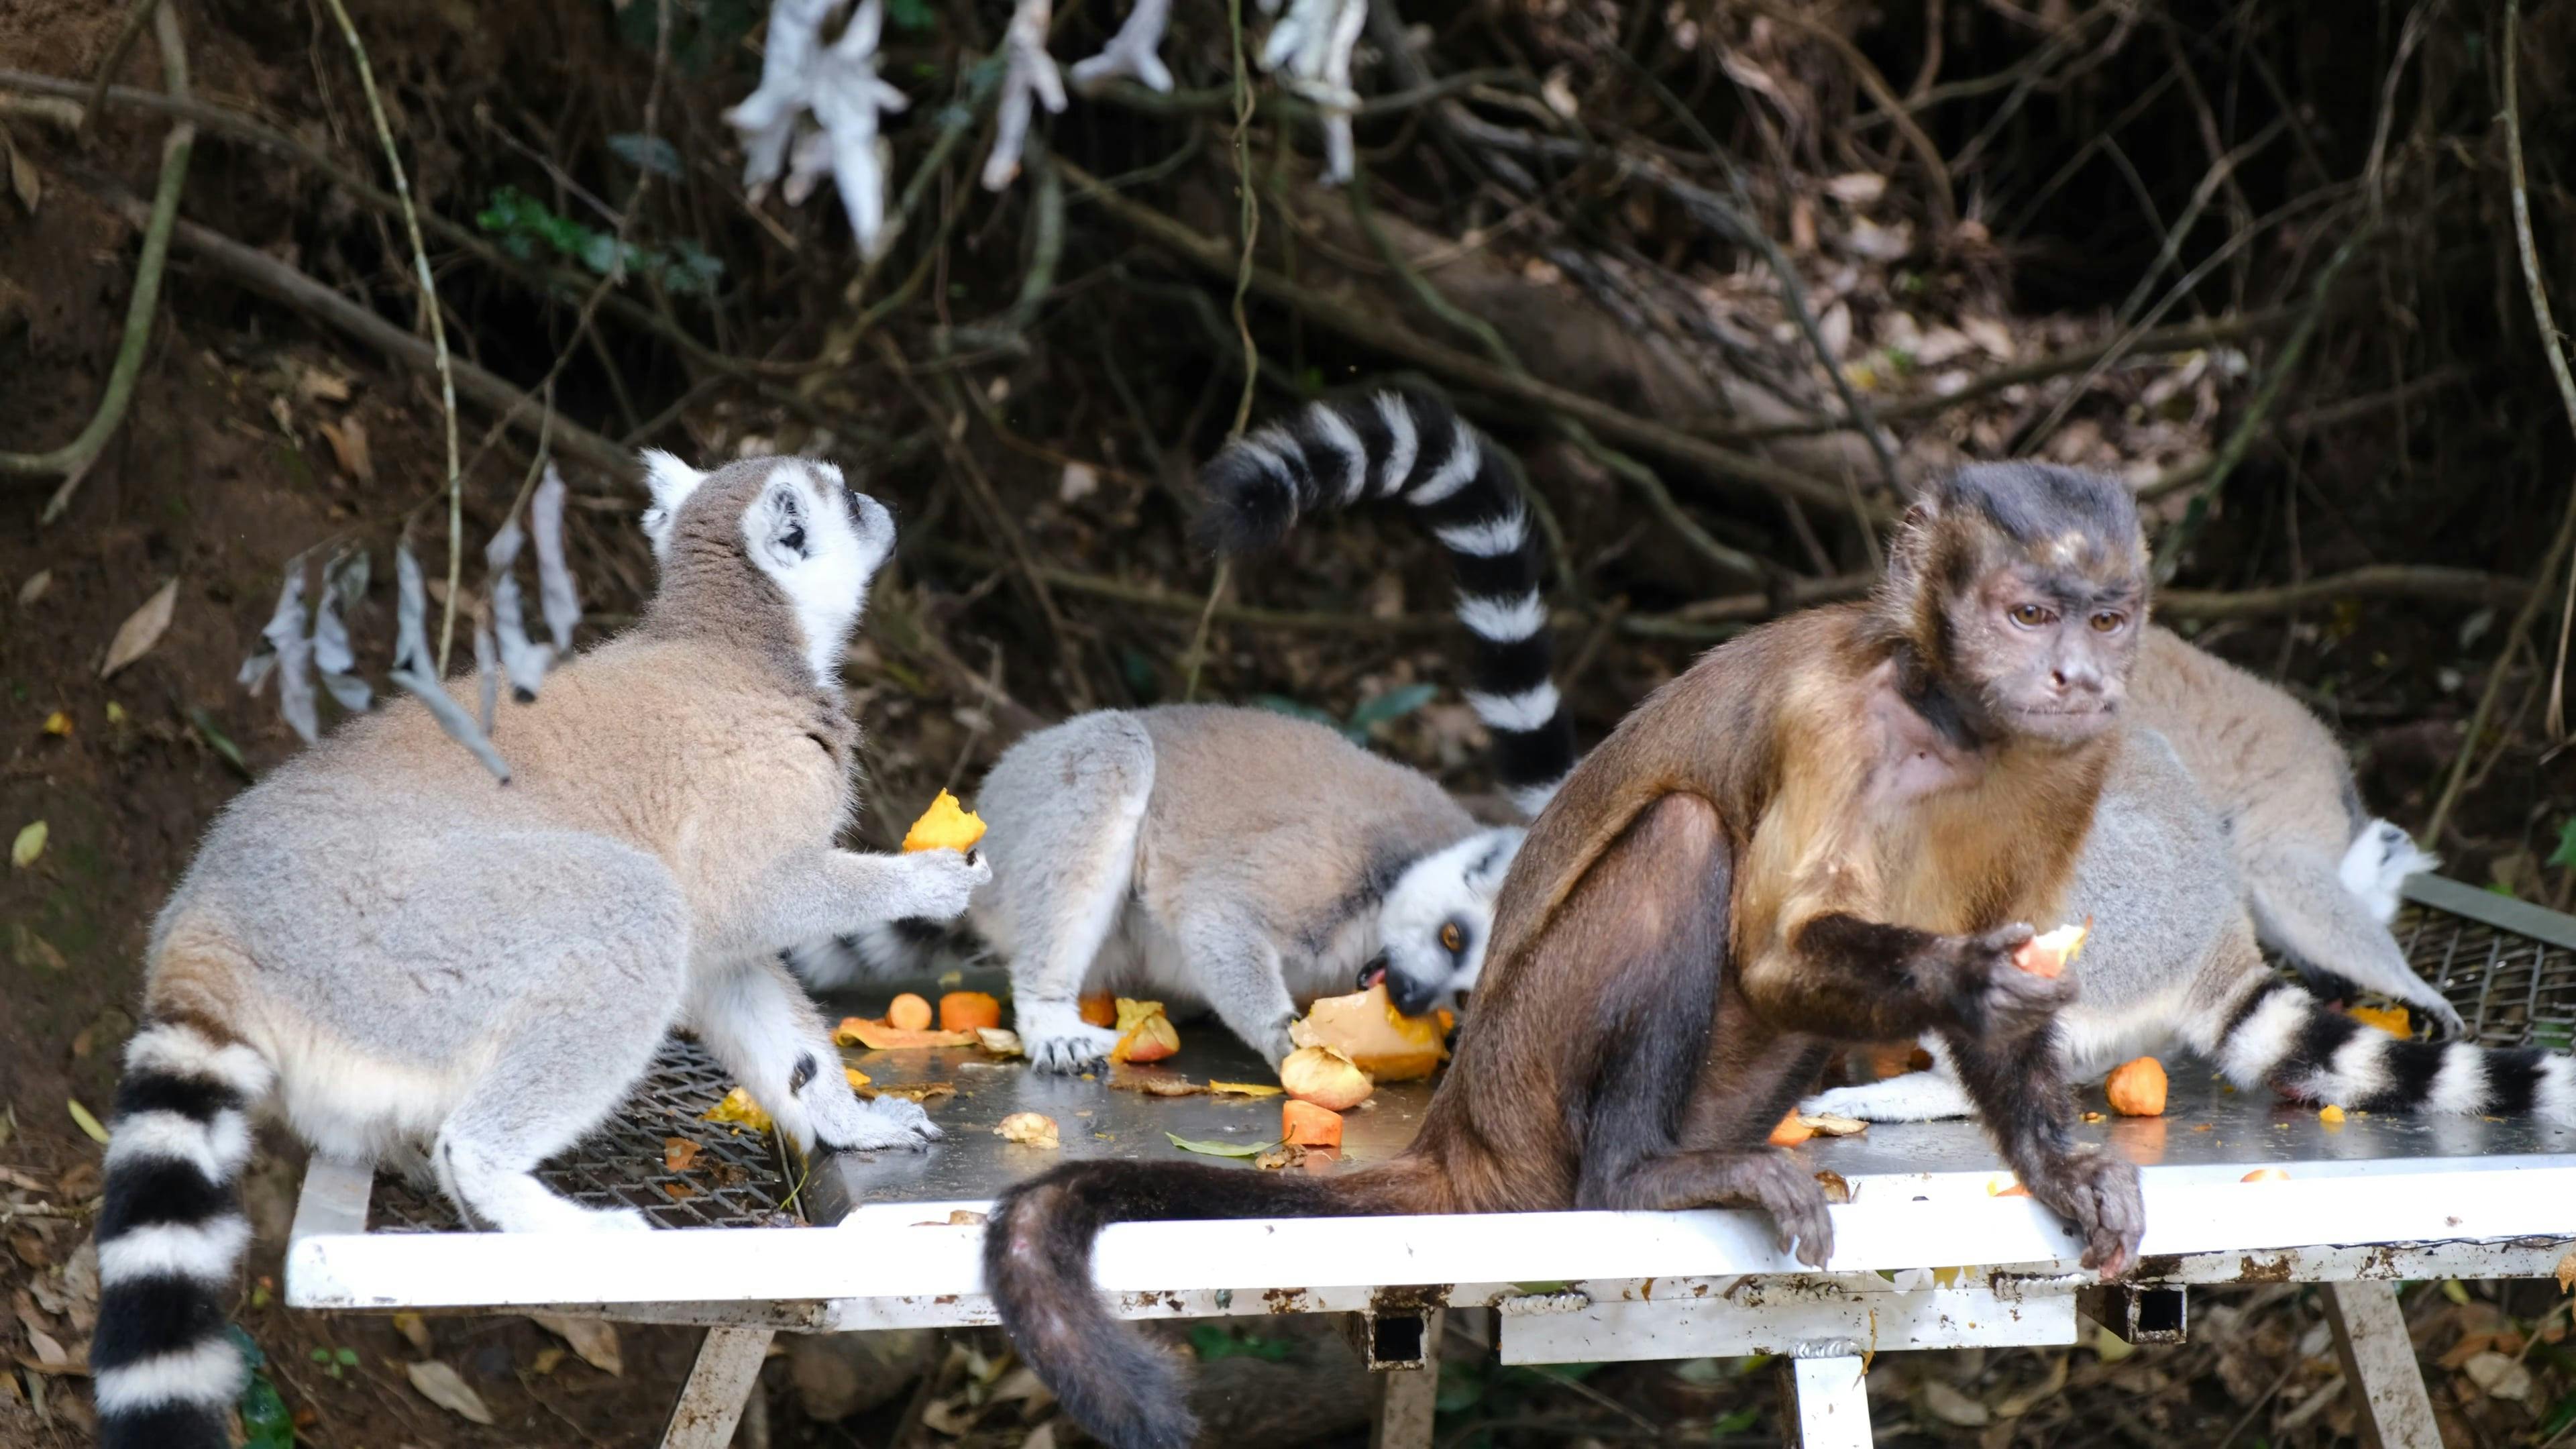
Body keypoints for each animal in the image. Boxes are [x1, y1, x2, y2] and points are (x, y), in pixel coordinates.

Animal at [88, 452, 988, 1449]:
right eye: (849, 497)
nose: (890, 512)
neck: (744, 638)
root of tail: (209, 923)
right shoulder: (755, 783)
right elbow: (759, 895)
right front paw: (928, 883)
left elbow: (735, 980)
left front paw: (848, 1121)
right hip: (419, 933)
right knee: (633, 912)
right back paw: (521, 1198)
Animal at [787, 391, 1578, 1072]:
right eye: (1452, 935)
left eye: (1468, 988)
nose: (1413, 999)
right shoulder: (1330, 868)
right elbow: (1217, 913)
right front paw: (1288, 1043)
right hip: (1039, 807)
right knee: (1111, 763)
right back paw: (1050, 1016)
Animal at [983, 461, 2151, 1449]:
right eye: (2028, 613)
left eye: (2108, 620)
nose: (2076, 672)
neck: (1948, 720)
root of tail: (1461, 1127)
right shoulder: (1833, 718)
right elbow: (1775, 955)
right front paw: (1970, 981)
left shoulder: (2083, 752)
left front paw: (2055, 1158)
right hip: (1529, 1088)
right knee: (1684, 834)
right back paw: (1636, 1175)